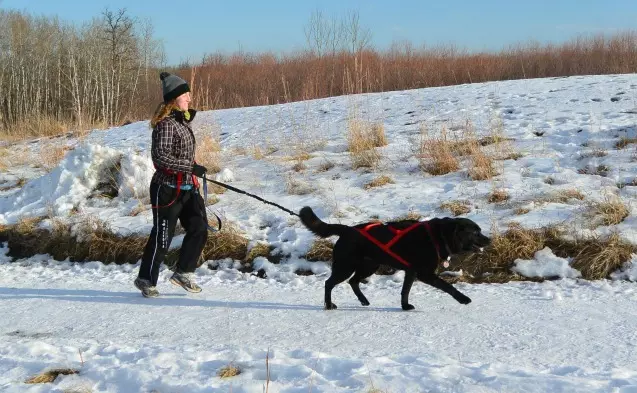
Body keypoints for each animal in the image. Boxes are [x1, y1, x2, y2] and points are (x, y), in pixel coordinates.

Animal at [300, 207, 490, 310]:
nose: (490, 240)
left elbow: (405, 291)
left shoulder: (411, 272)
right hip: (346, 266)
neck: (438, 236)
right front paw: (463, 299)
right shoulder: (424, 273)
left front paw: (405, 307)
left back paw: (364, 300)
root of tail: (347, 229)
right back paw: (329, 305)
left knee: (353, 281)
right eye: (475, 232)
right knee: (329, 283)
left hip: (370, 265)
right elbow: (447, 286)